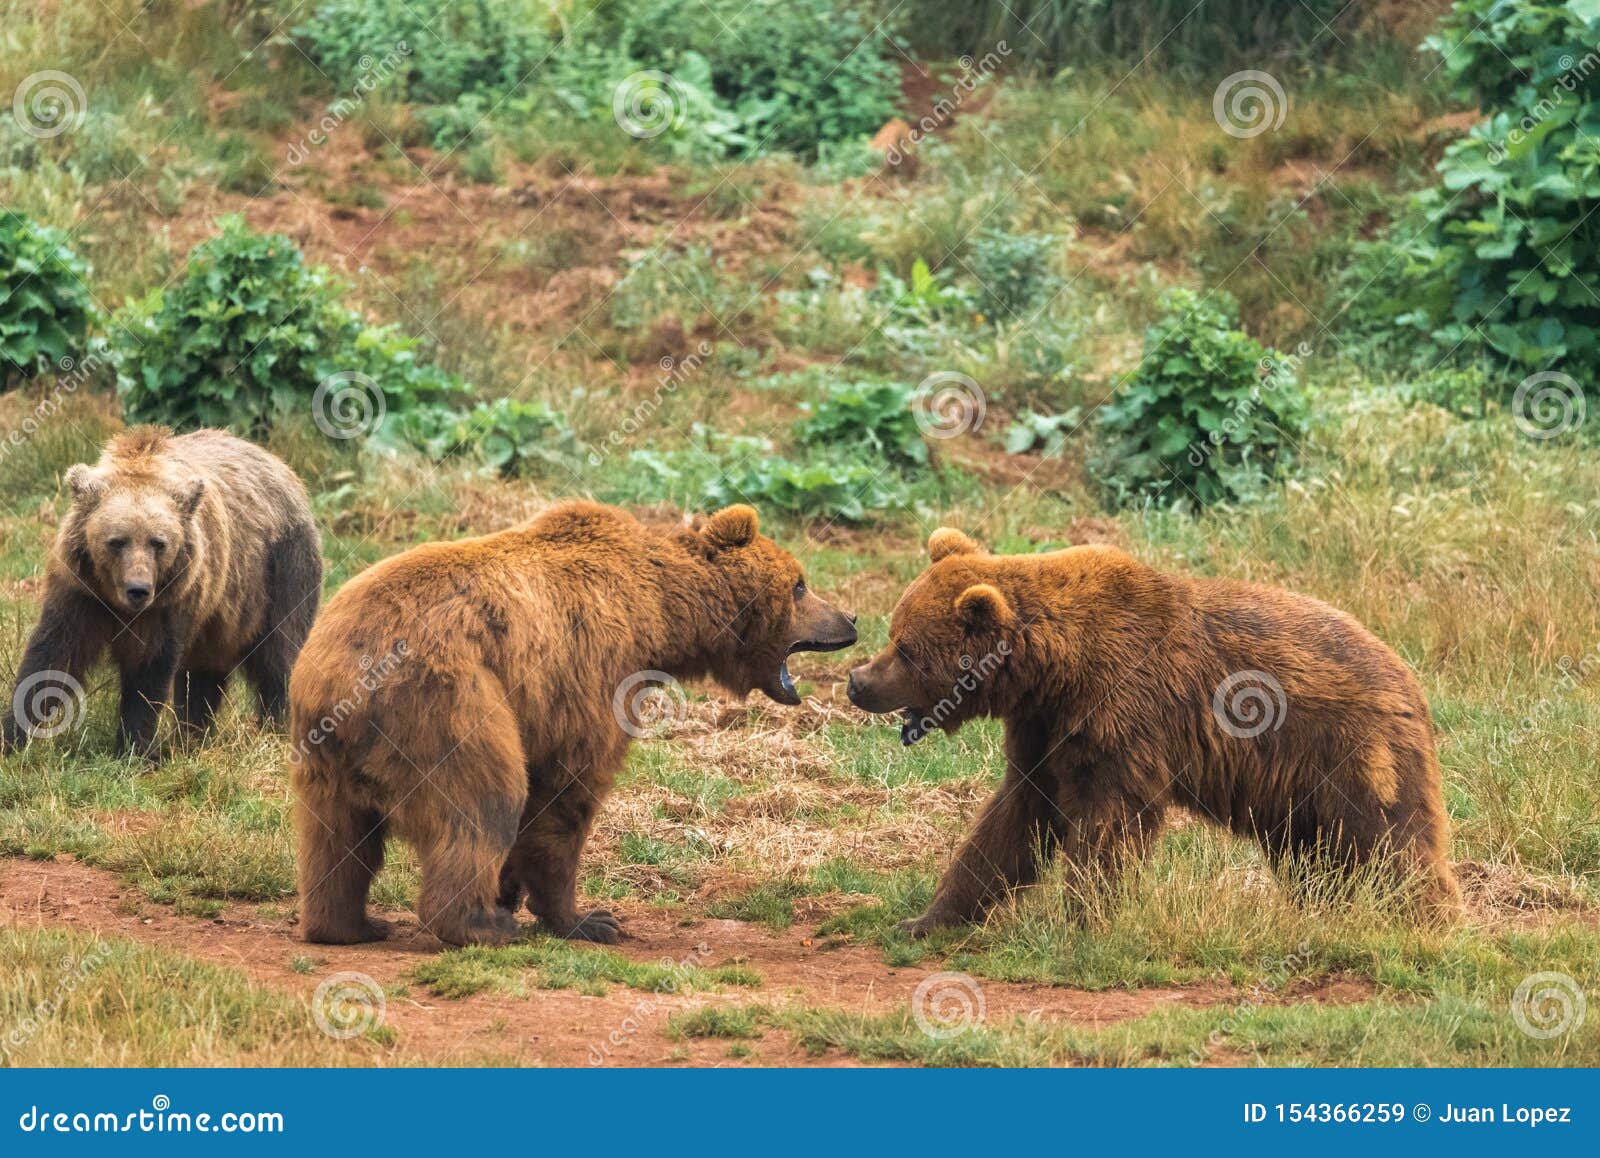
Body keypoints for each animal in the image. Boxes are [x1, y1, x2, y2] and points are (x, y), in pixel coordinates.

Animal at [2, 427, 321, 757]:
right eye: (117, 541)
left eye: (158, 542)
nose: (138, 590)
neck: (117, 604)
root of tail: (280, 465)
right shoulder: (80, 592)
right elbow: (53, 654)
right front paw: (13, 738)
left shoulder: (169, 603)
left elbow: (149, 668)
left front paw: (135, 748)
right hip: (220, 615)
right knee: (203, 673)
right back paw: (192, 735)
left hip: (280, 572)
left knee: (280, 652)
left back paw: (276, 727)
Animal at [288, 501, 856, 948]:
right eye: (800, 585)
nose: (850, 619)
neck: (659, 611)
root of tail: (338, 678)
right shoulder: (591, 672)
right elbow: (565, 794)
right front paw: (586, 918)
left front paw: (513, 891)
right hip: (444, 703)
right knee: (483, 800)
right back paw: (478, 925)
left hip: (324, 755)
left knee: (336, 840)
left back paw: (349, 925)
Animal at [846, 528, 1460, 936]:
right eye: (895, 633)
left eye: (906, 649)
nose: (857, 681)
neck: (1055, 669)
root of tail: (1409, 676)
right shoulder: (1043, 728)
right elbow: (1015, 818)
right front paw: (926, 918)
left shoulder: (1121, 711)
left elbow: (1109, 821)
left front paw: (1084, 921)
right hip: (1294, 794)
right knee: (1312, 857)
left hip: (1351, 751)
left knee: (1393, 841)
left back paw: (1429, 924)